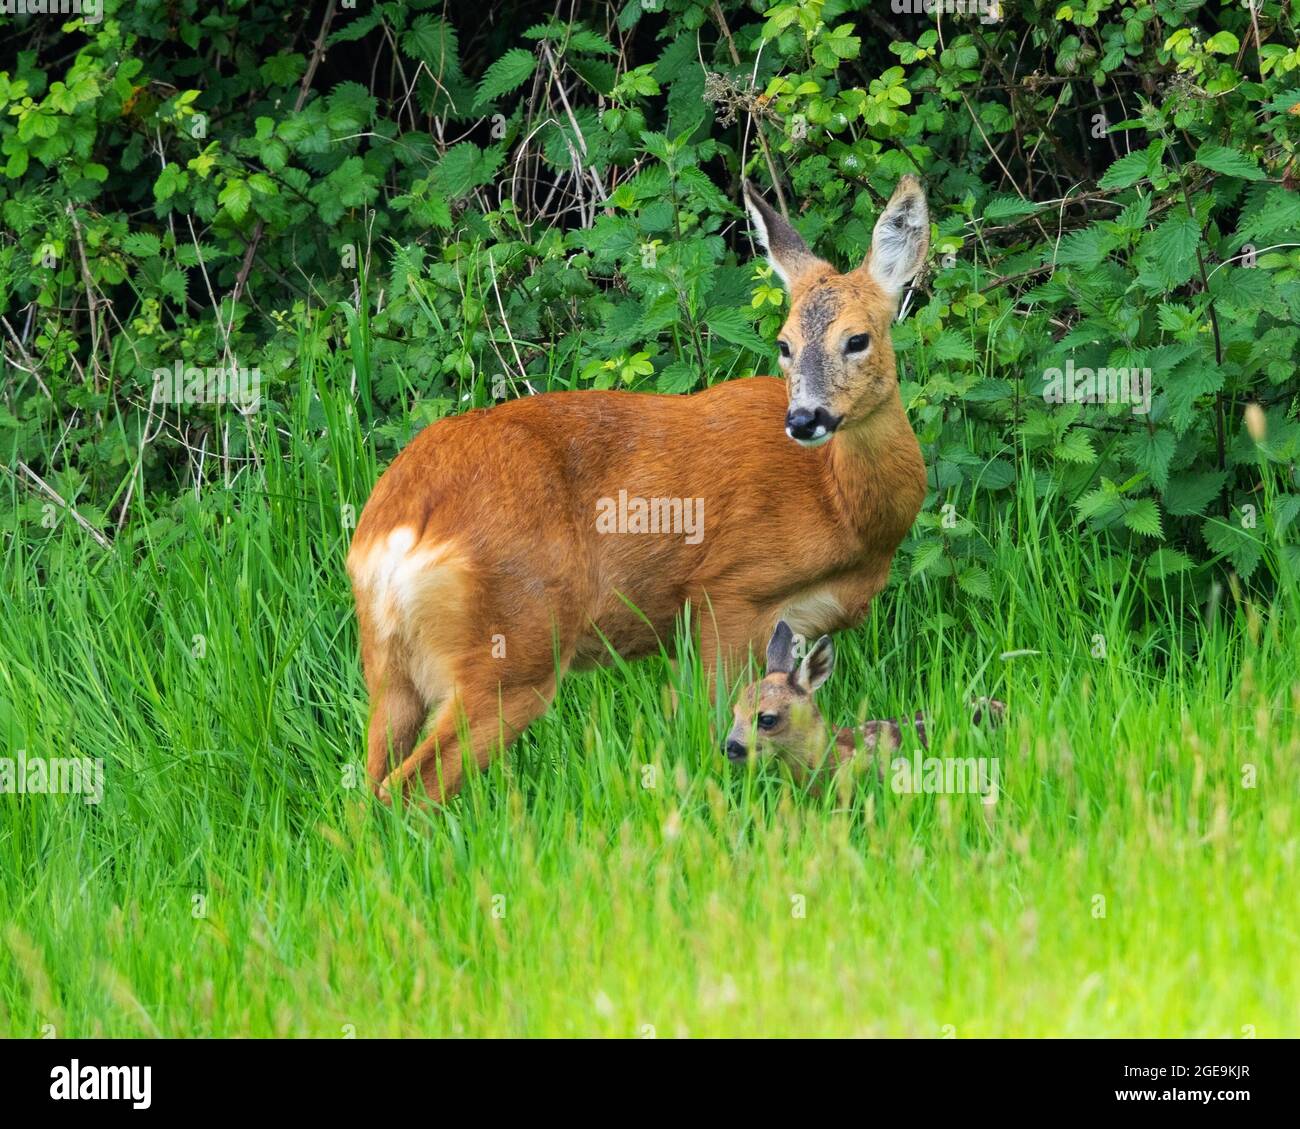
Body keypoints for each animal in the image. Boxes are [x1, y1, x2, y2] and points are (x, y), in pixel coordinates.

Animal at [346, 176, 931, 803]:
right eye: (784, 344)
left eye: (857, 339)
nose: (804, 419)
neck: (840, 505)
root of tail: (402, 527)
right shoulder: (726, 591)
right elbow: (709, 716)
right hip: (517, 647)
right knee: (407, 788)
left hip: (388, 664)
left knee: (367, 788)